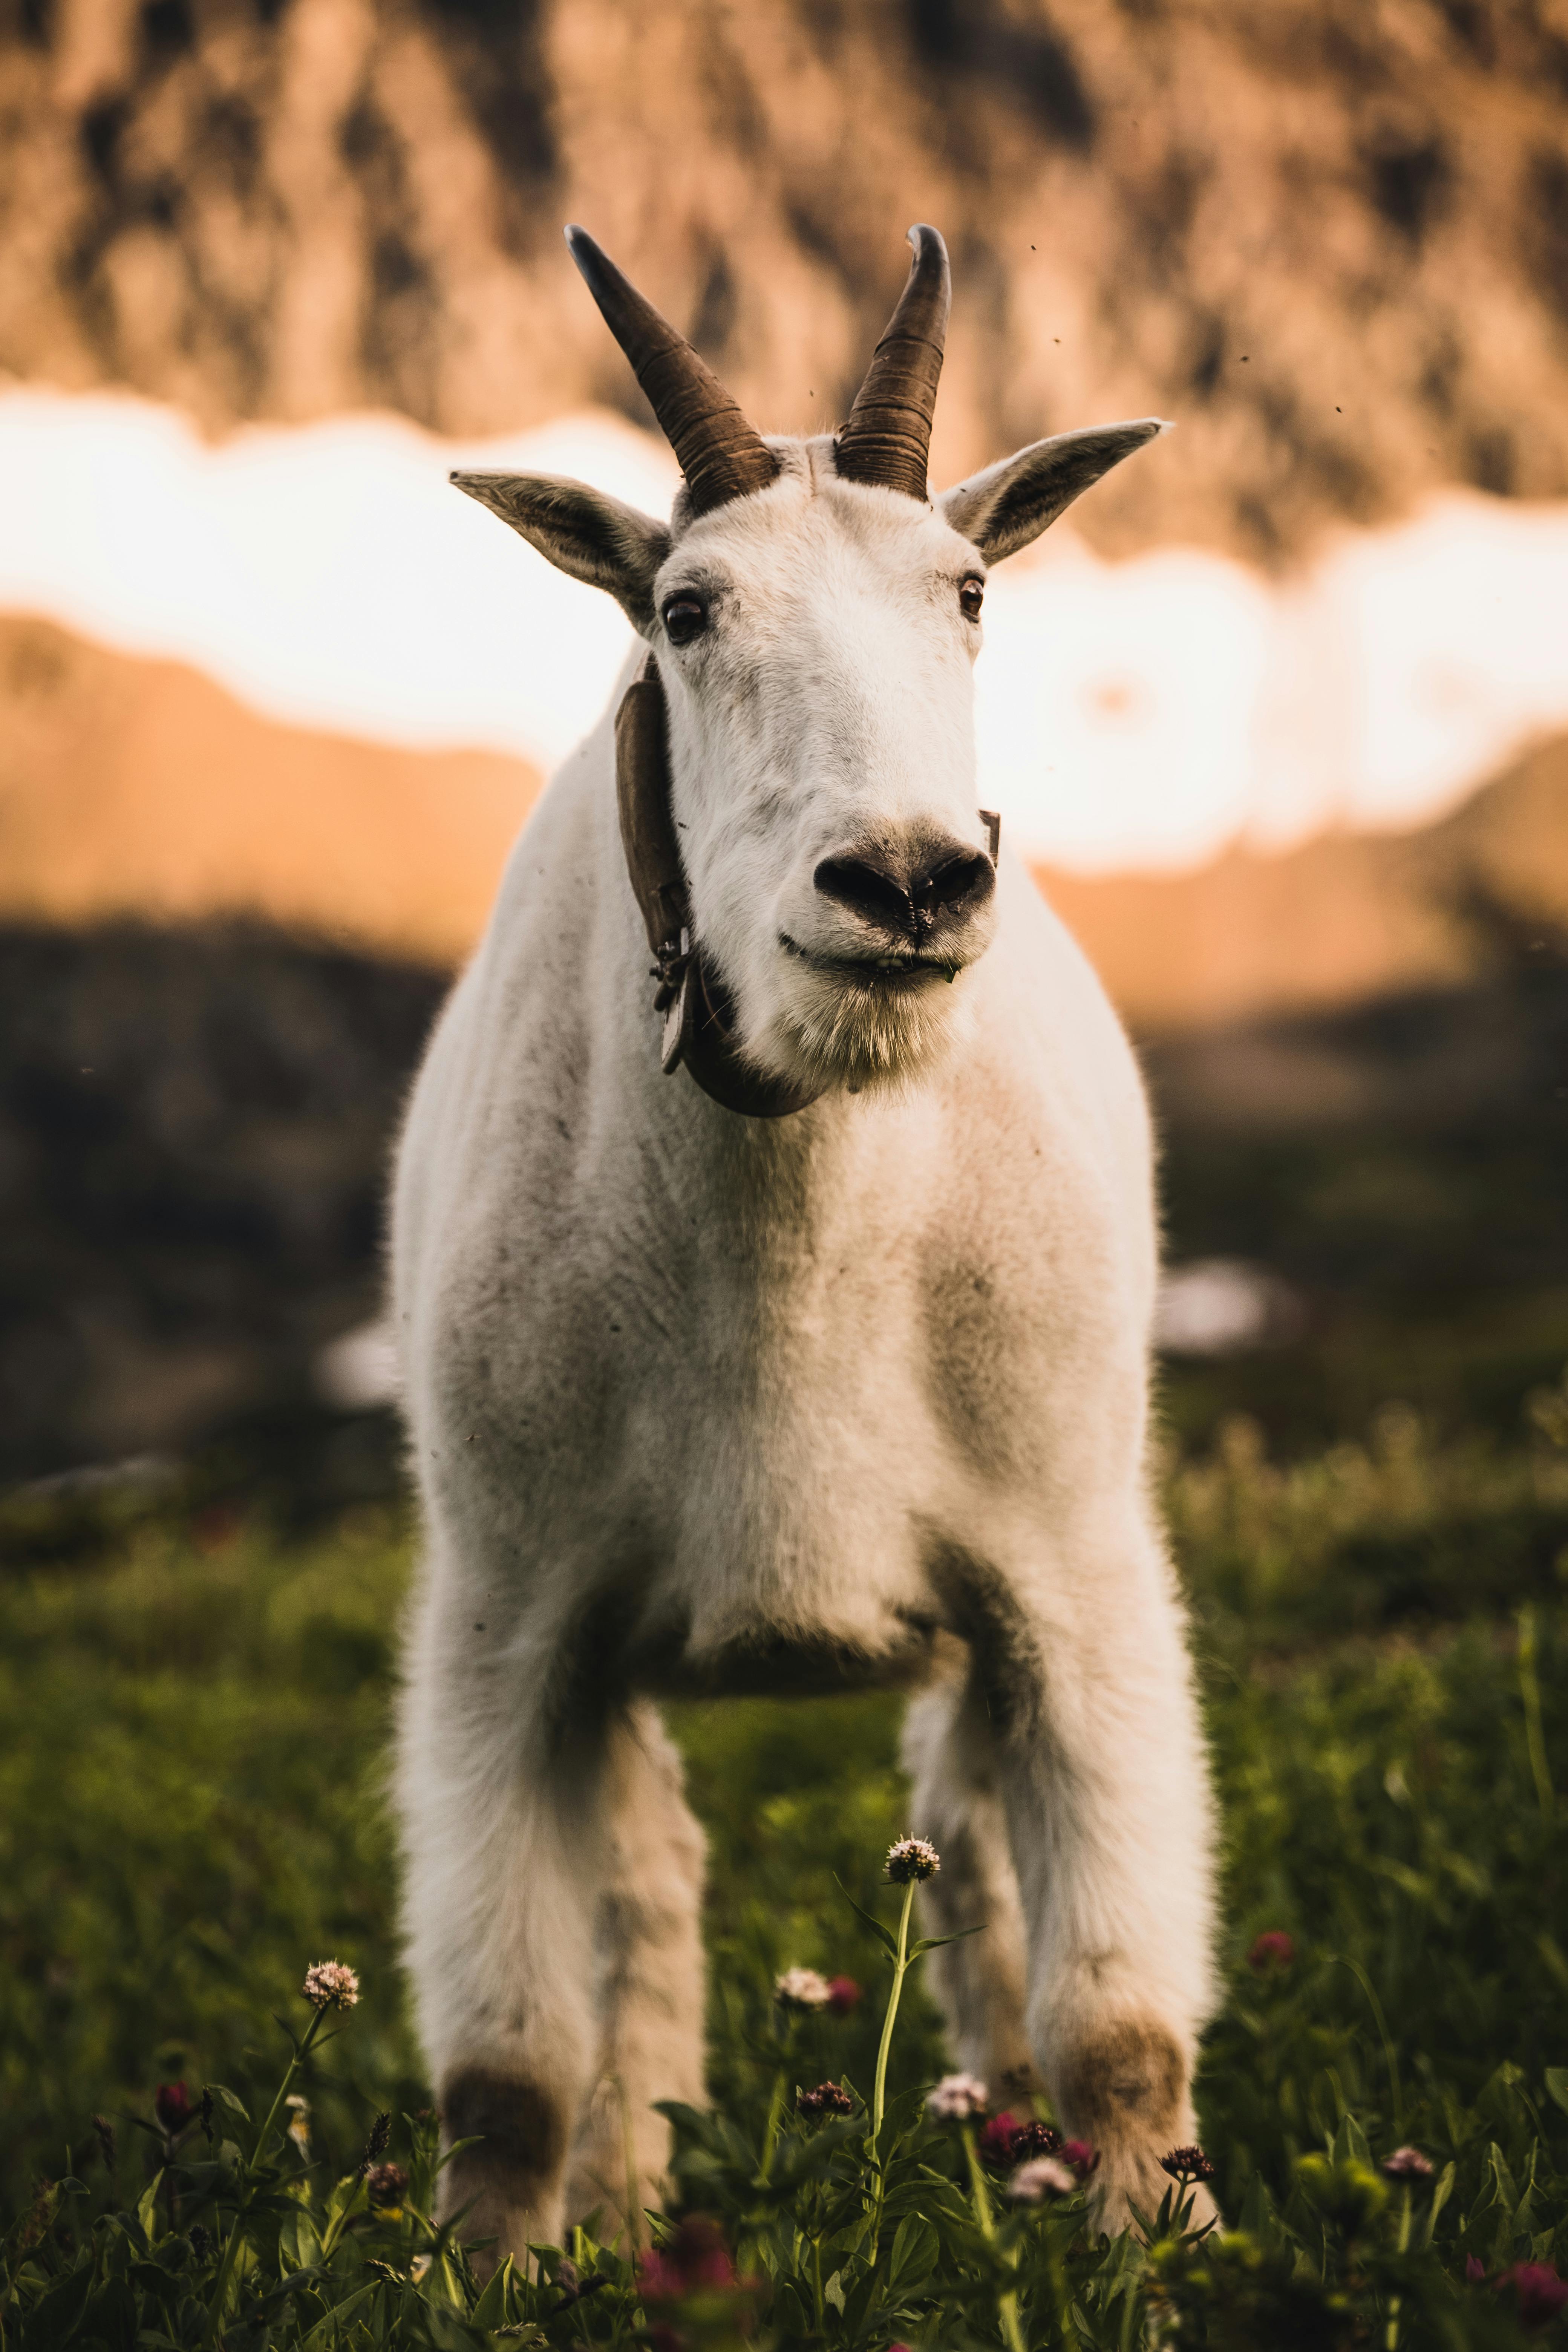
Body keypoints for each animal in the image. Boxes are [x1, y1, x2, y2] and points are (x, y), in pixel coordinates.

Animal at [392, 223, 1217, 2261]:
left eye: (970, 591)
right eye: (686, 609)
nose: (906, 882)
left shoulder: (1075, 1577)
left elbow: (1119, 2028)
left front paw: (1149, 2253)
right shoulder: (507, 1617)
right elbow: (512, 2070)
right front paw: (496, 2270)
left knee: (969, 1844)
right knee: (650, 1899)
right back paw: (631, 2204)